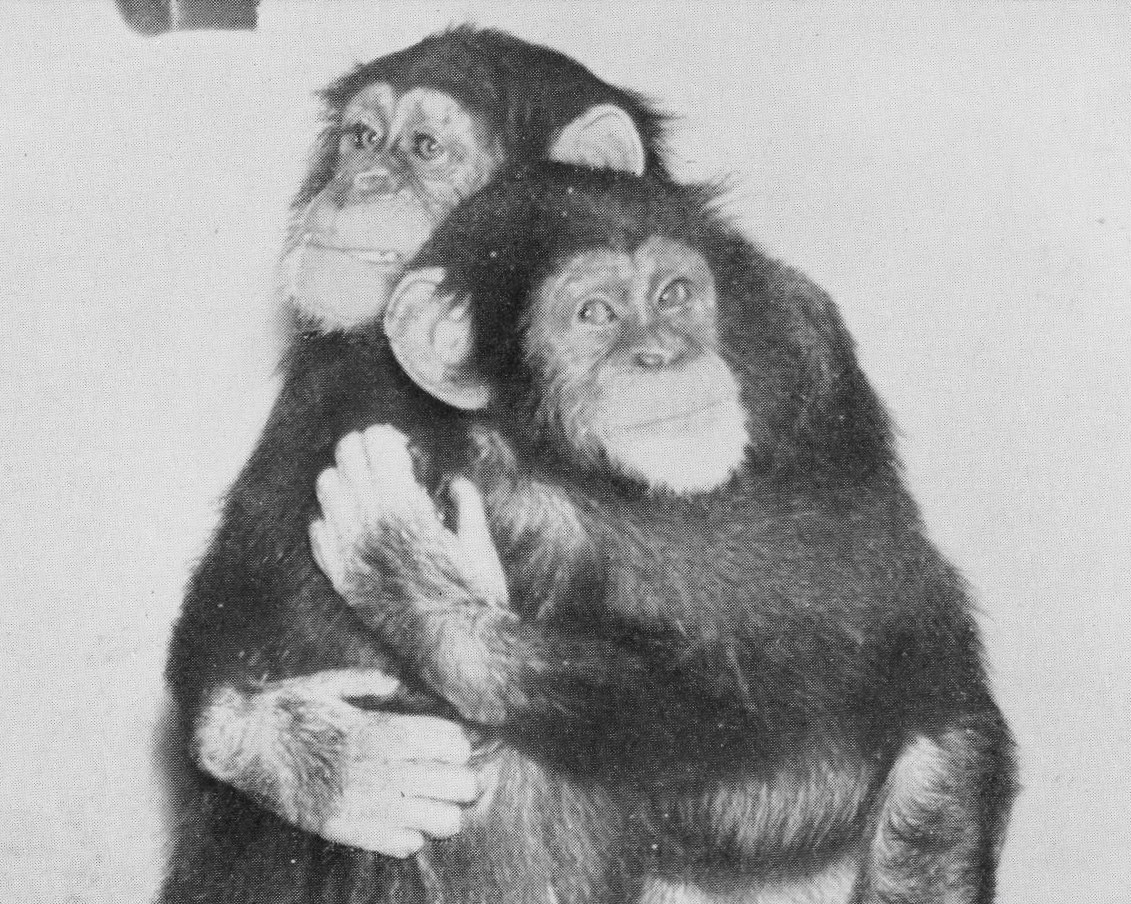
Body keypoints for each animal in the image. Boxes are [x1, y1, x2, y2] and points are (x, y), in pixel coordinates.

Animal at [161, 28, 673, 903]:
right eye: (363, 138)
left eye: (426, 148)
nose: (356, 180)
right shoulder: (325, 376)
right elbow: (228, 597)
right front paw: (314, 760)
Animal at [301, 162, 1018, 904]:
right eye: (594, 314)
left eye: (674, 294)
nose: (663, 355)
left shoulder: (813, 355)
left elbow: (900, 647)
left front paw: (412, 586)